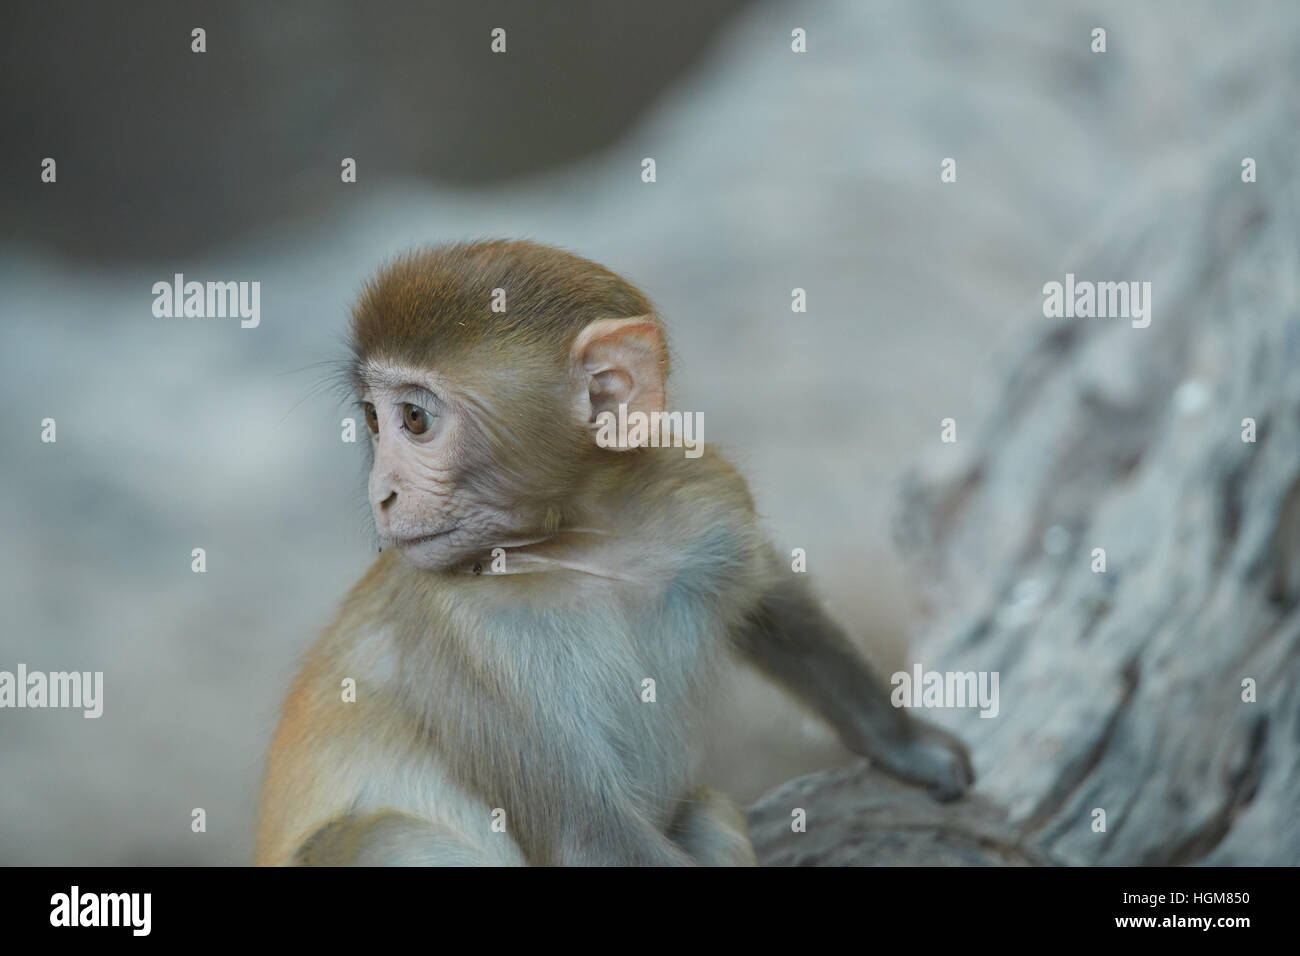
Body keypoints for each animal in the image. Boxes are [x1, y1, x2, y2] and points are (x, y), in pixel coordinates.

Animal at [255, 239, 973, 866]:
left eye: (413, 419)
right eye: (374, 421)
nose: (382, 493)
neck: (580, 542)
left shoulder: (702, 496)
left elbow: (777, 595)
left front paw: (905, 744)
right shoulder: (460, 638)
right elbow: (592, 839)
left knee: (710, 814)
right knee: (385, 838)